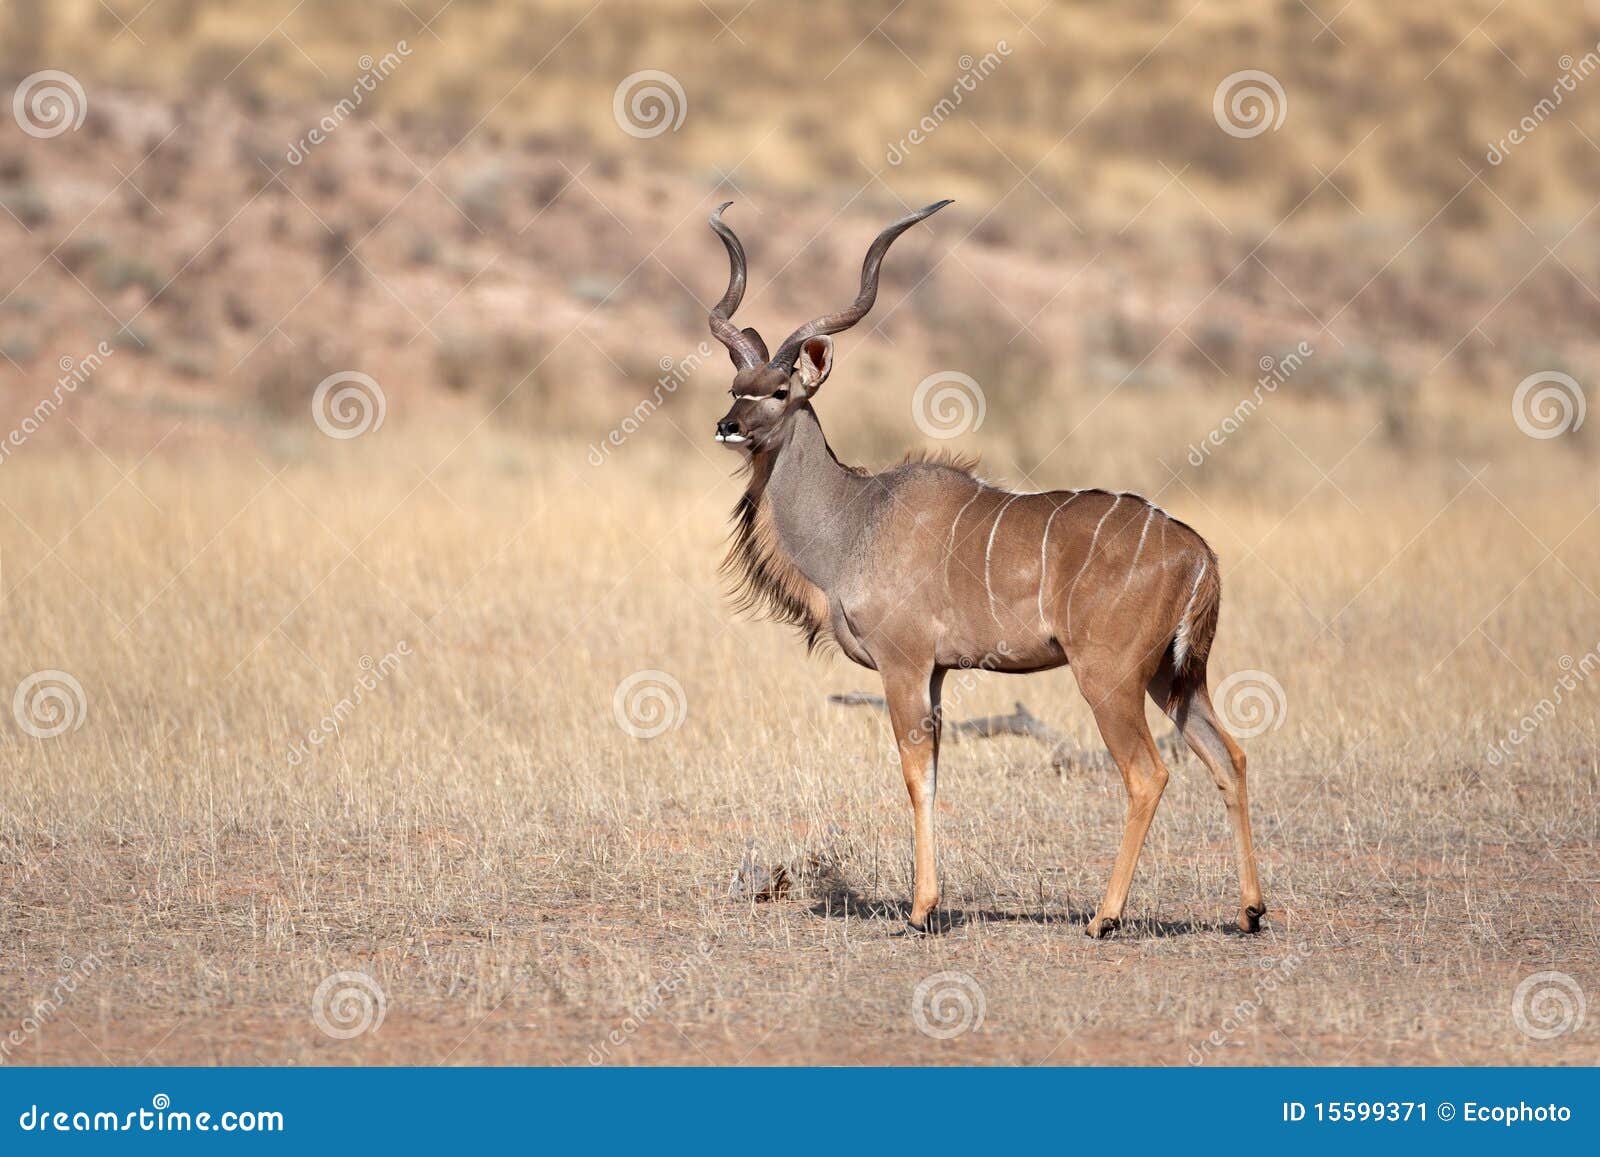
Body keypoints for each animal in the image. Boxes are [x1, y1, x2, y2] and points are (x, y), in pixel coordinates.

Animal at [706, 200, 1264, 937]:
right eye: (735, 385)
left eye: (777, 391)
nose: (727, 425)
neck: (858, 519)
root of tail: (1199, 552)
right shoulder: (938, 673)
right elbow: (936, 774)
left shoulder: (905, 664)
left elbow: (915, 775)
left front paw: (920, 910)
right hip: (1176, 677)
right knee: (1229, 755)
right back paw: (1251, 910)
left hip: (1110, 678)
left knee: (1147, 773)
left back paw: (1104, 917)